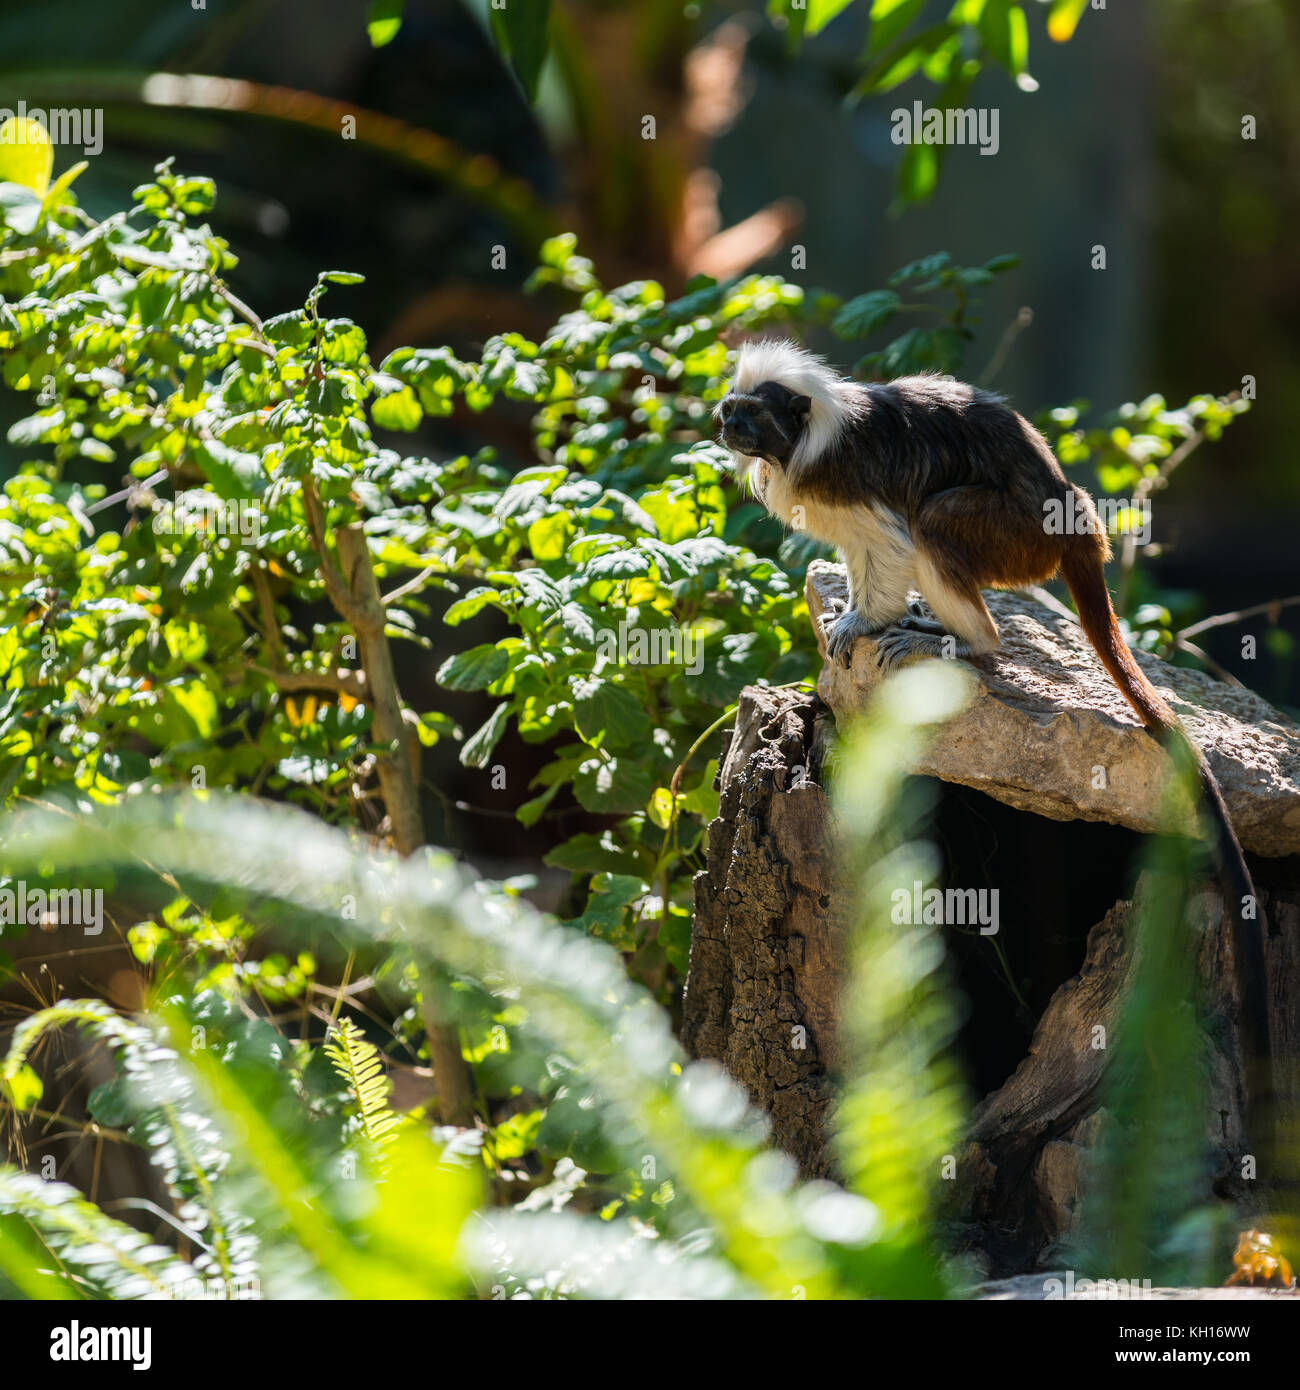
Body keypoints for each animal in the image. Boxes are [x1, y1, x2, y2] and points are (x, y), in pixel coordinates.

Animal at [716, 337, 1269, 1073]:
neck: (803, 441)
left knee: (935, 520)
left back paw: (966, 642)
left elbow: (889, 542)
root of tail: (1077, 522)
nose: (726, 427)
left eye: (751, 416)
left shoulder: (847, 481)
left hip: (1014, 535)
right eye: (730, 410)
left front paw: (864, 621)